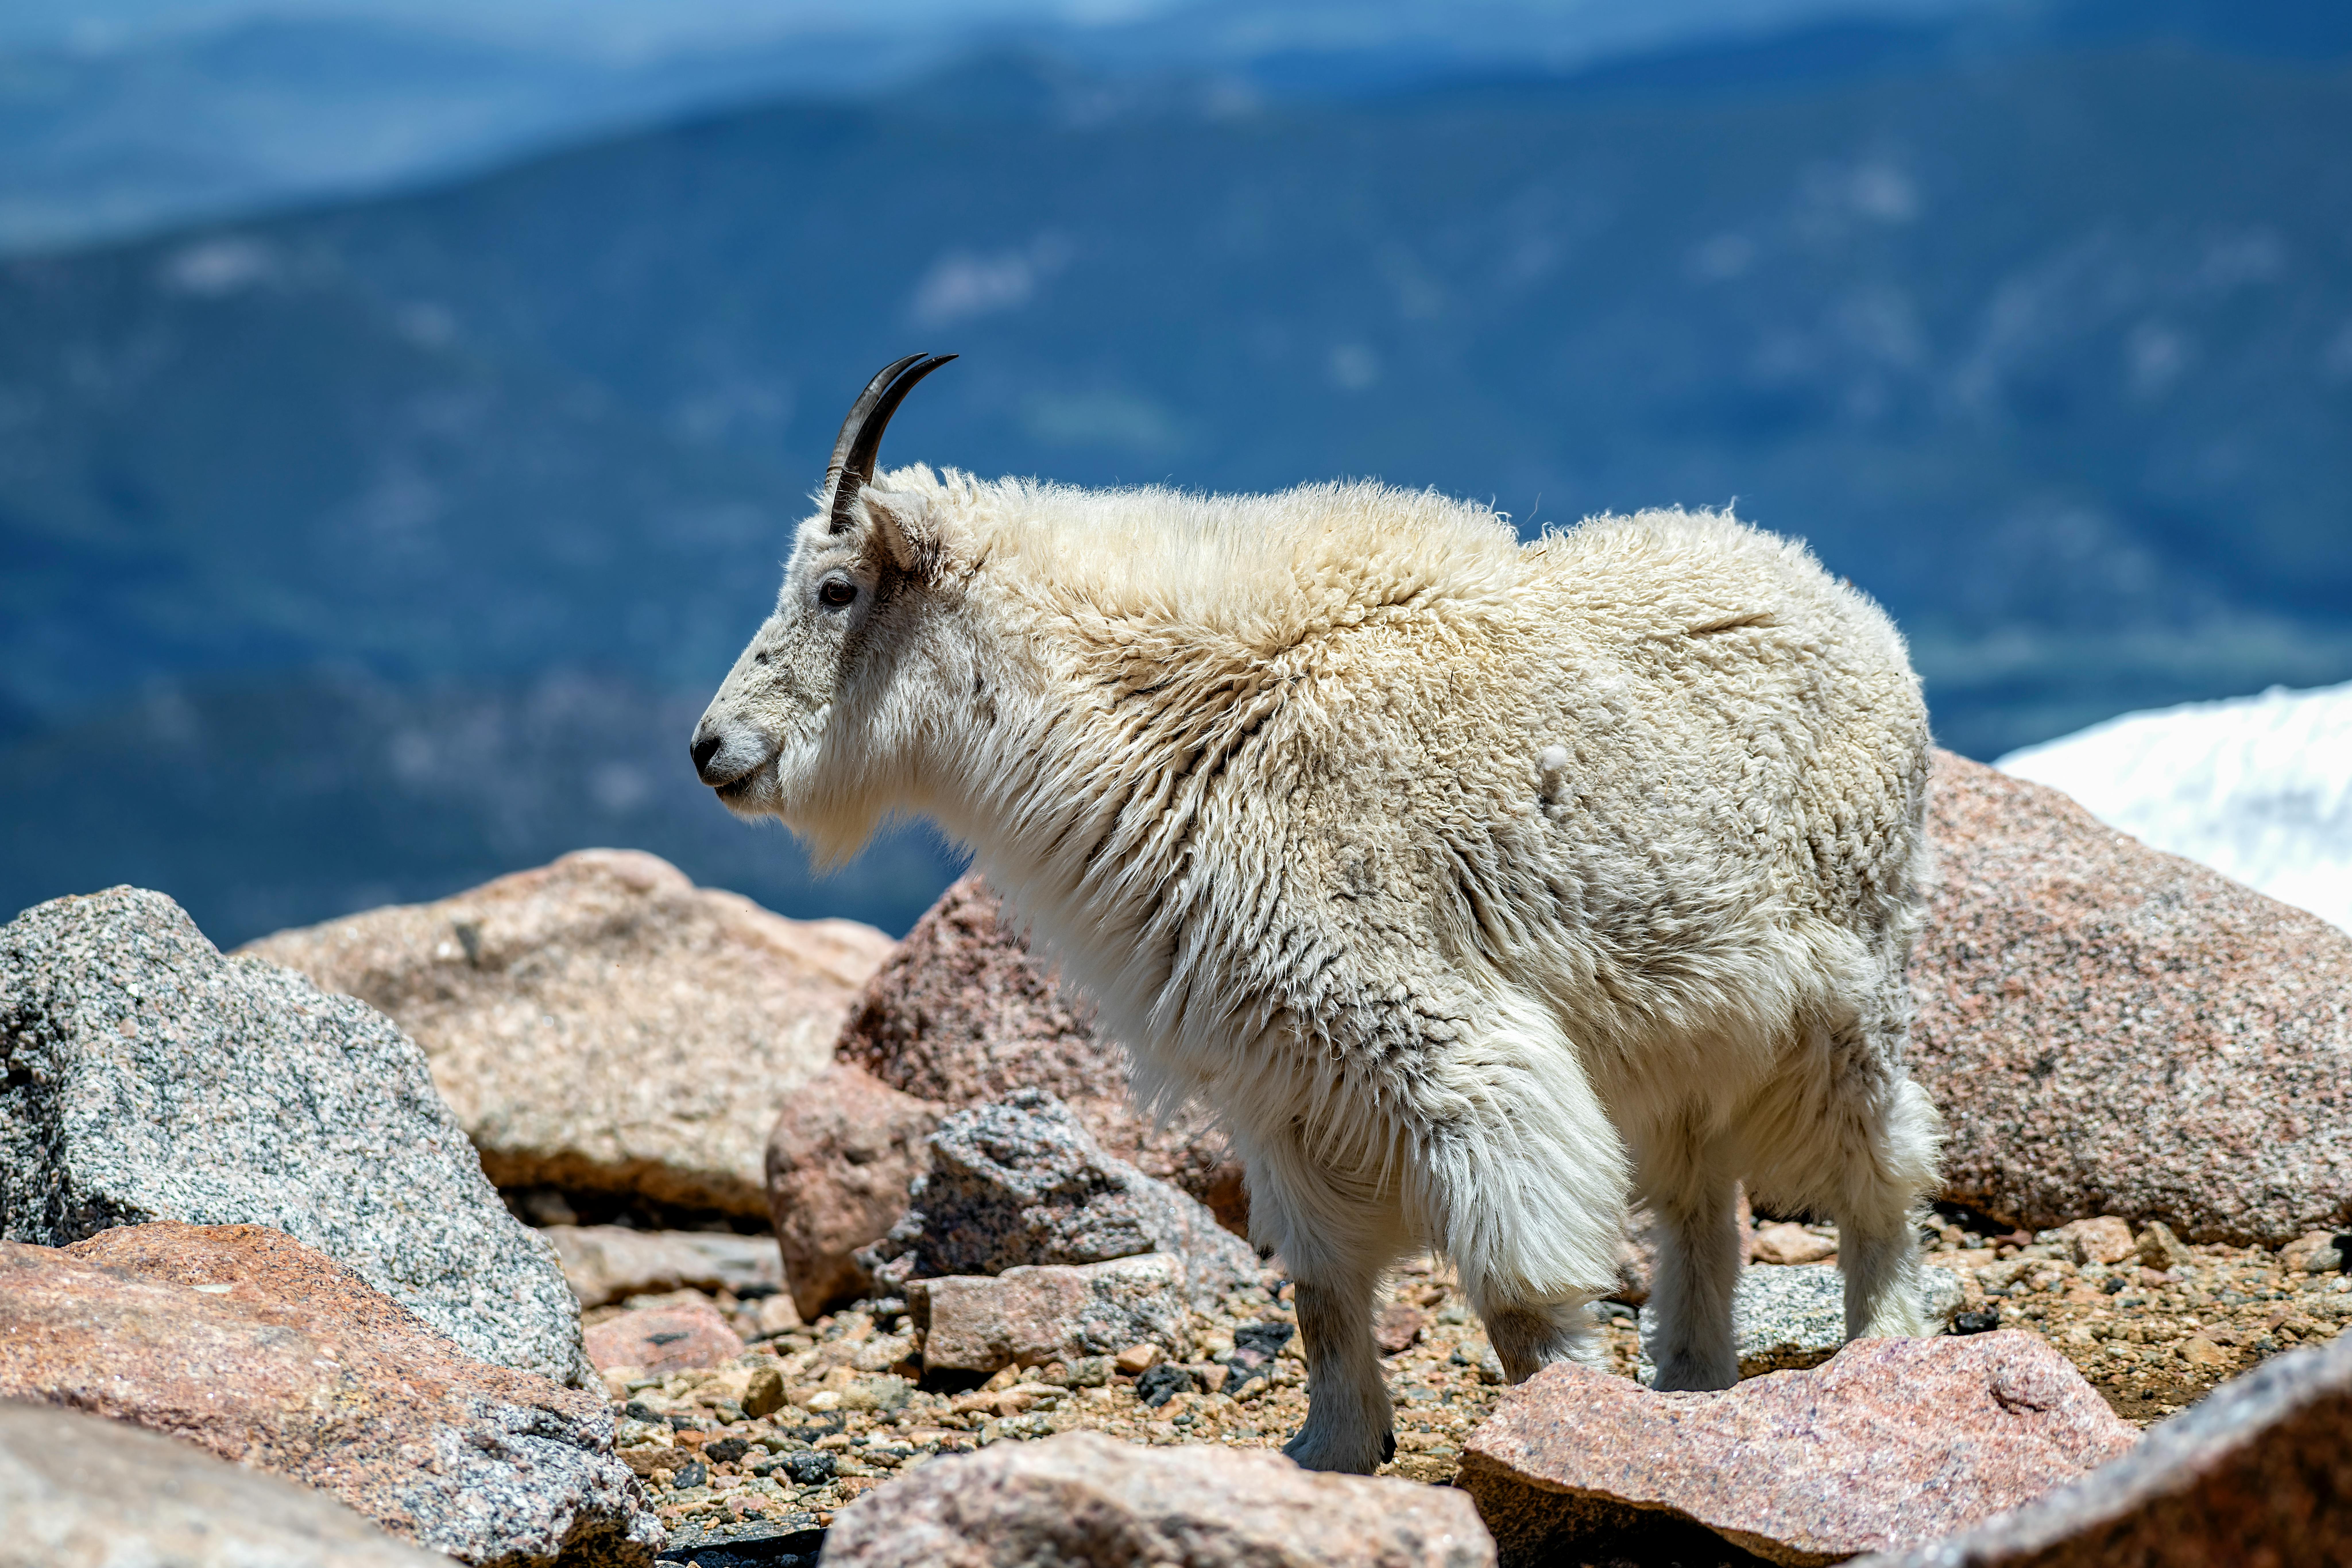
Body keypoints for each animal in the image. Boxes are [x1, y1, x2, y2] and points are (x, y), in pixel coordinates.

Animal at [692, 355, 1944, 1473]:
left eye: (836, 589)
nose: (713, 751)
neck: (1185, 724)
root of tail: (1848, 607)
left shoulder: (1444, 1048)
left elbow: (1517, 1287)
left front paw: (1554, 1431)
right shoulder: (1279, 1088)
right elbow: (1322, 1289)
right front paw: (1335, 1454)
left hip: (1845, 989)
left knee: (1877, 1165)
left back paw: (1879, 1348)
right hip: (1681, 1027)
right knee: (1697, 1196)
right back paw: (1690, 1381)